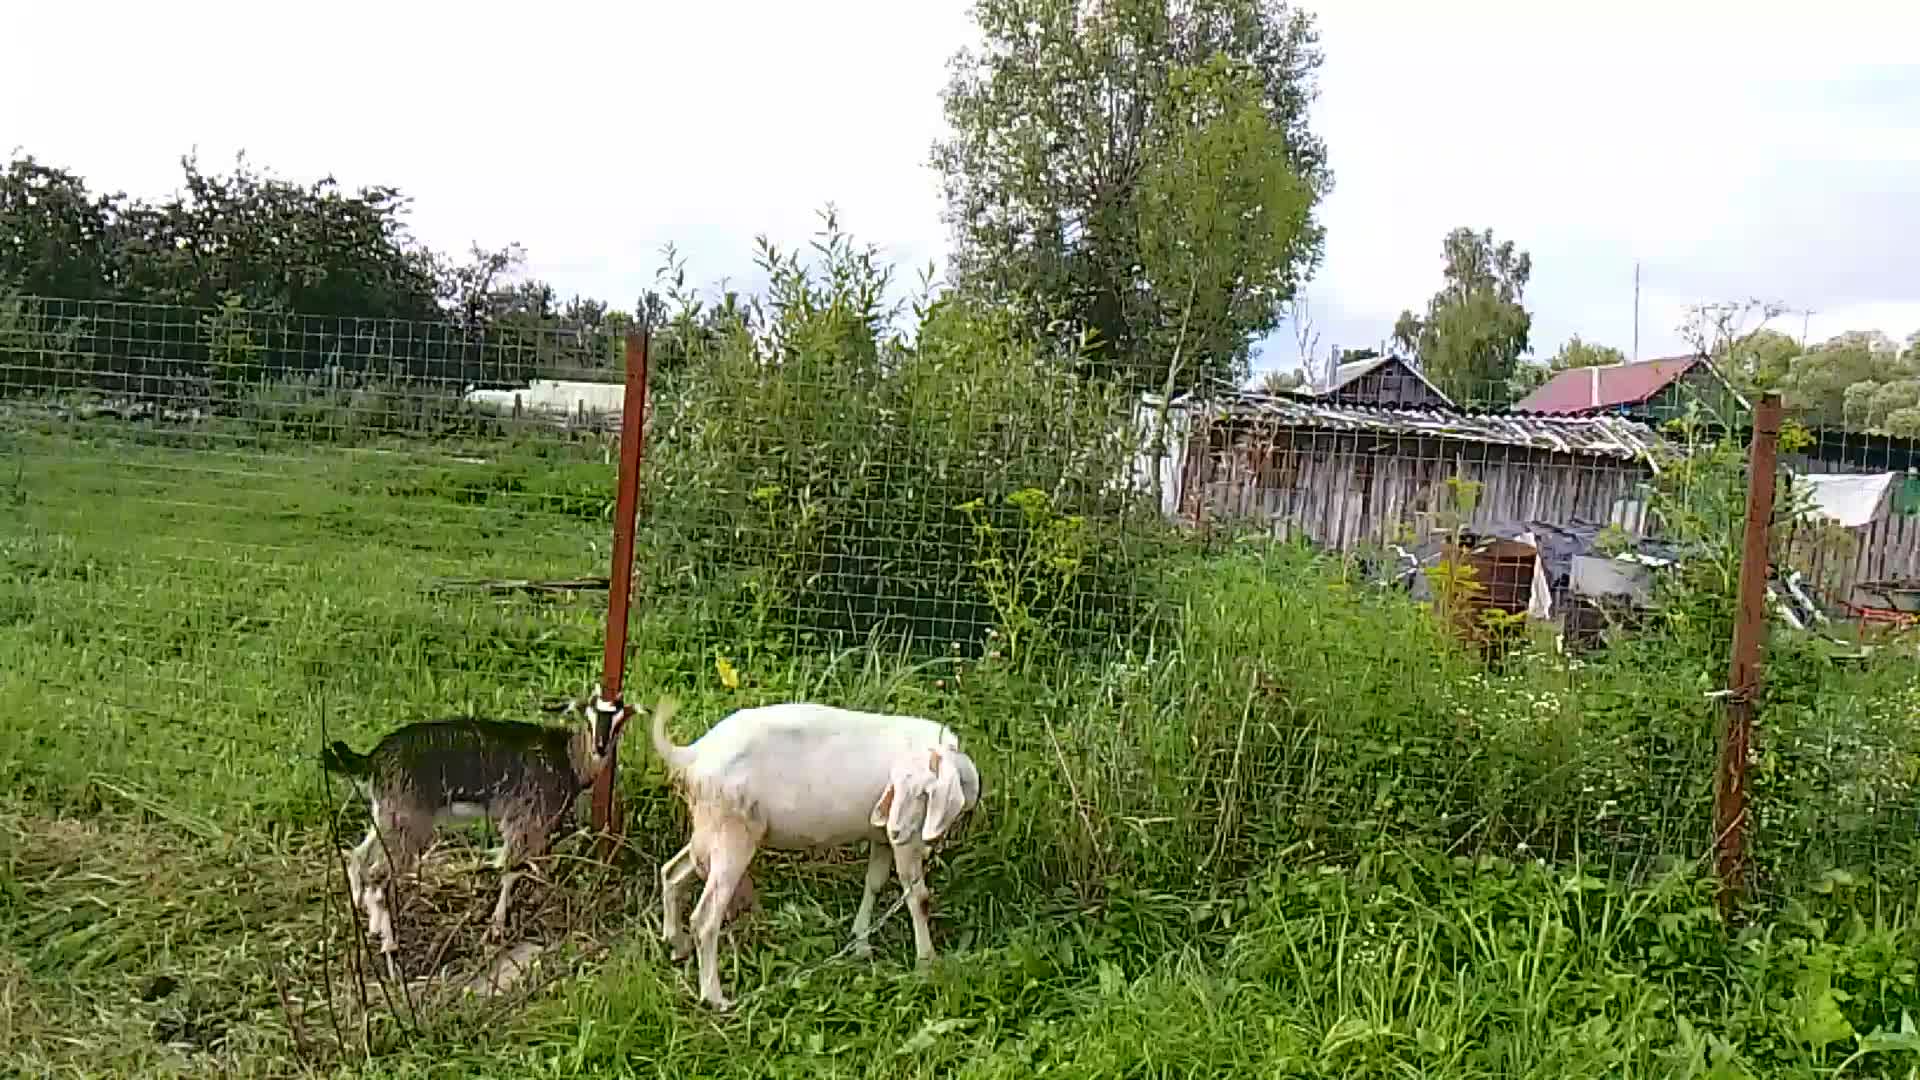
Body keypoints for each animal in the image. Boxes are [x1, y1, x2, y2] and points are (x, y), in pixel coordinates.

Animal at [648, 699, 983, 1006]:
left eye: (924, 792)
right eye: (900, 786)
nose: (896, 828)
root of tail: (694, 754)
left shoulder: (882, 838)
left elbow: (873, 883)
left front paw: (860, 943)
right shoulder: (906, 843)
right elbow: (918, 899)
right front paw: (927, 963)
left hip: (710, 830)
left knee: (672, 872)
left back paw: (676, 943)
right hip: (732, 835)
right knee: (705, 918)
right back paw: (716, 998)